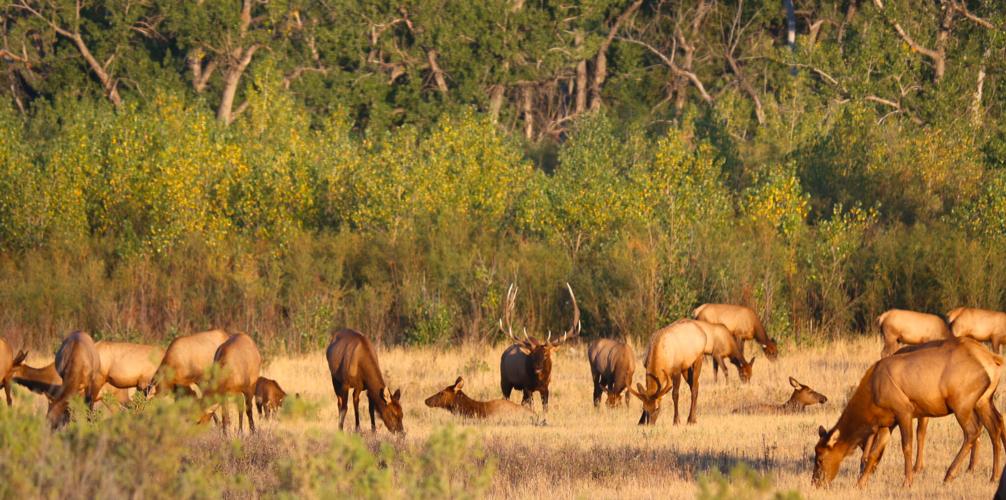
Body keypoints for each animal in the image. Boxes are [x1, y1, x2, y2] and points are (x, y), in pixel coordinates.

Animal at [498, 283, 580, 415]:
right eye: (532, 355)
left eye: (546, 354)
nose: (537, 368)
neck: (539, 381)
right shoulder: (527, 387)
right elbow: (532, 407)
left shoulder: (546, 387)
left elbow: (545, 408)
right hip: (505, 381)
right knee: (506, 397)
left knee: (521, 402)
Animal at [812, 337, 1004, 488]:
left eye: (820, 458)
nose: (816, 482)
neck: (872, 393)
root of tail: (993, 361)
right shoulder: (887, 422)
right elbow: (875, 452)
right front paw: (860, 483)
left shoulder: (904, 411)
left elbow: (907, 446)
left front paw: (907, 481)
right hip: (983, 401)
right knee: (995, 427)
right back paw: (993, 477)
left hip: (961, 404)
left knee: (973, 431)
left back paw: (949, 475)